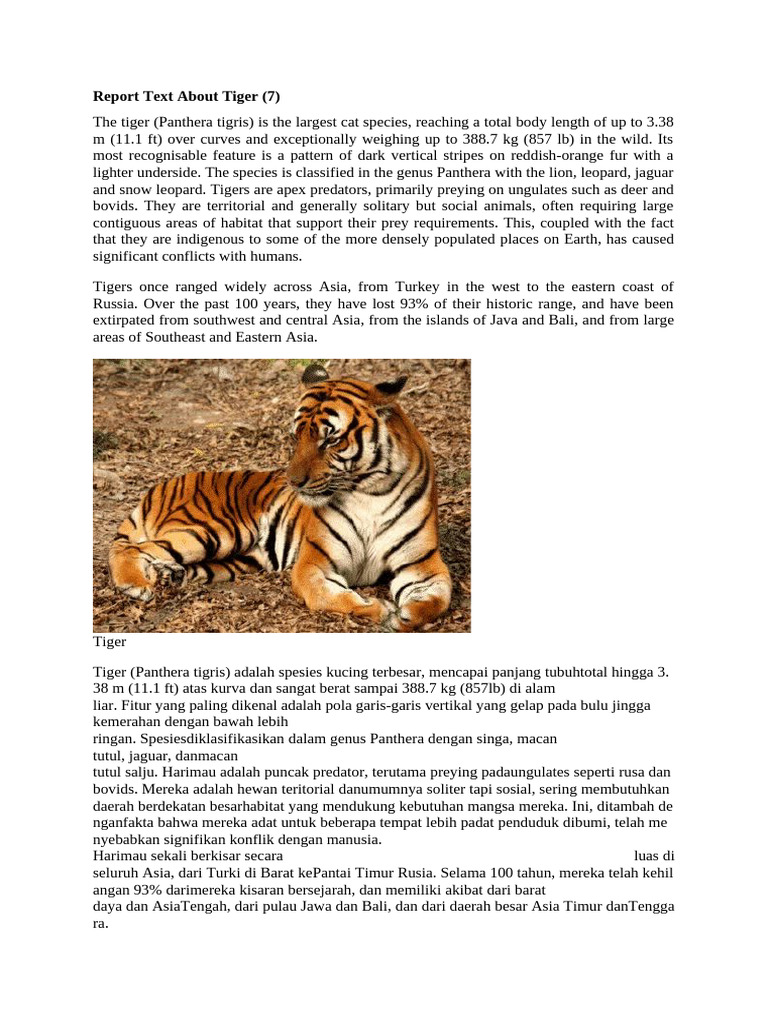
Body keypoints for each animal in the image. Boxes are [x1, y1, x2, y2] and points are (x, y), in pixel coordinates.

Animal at [108, 365, 452, 631]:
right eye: (296, 436)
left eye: (330, 440)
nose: (294, 482)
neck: (369, 491)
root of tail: (164, 484)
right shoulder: (313, 562)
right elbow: (329, 596)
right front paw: (379, 609)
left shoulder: (422, 565)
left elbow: (438, 599)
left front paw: (406, 616)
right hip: (213, 530)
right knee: (130, 547)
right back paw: (135, 584)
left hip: (238, 558)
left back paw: (170, 575)